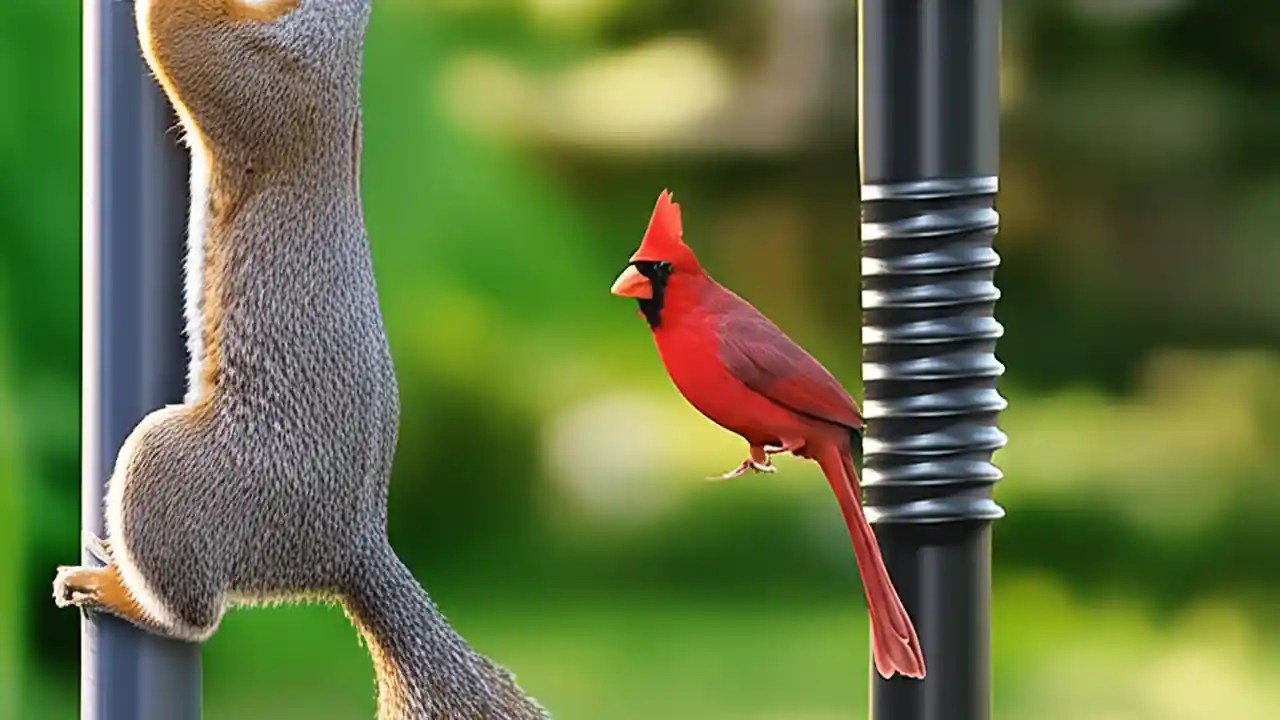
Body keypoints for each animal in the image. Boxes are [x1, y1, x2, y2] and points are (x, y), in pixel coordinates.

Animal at [53, 2, 547, 718]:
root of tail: (348, 550)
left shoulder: (290, 74)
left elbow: (190, 45)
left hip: (176, 470)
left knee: (193, 614)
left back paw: (113, 591)